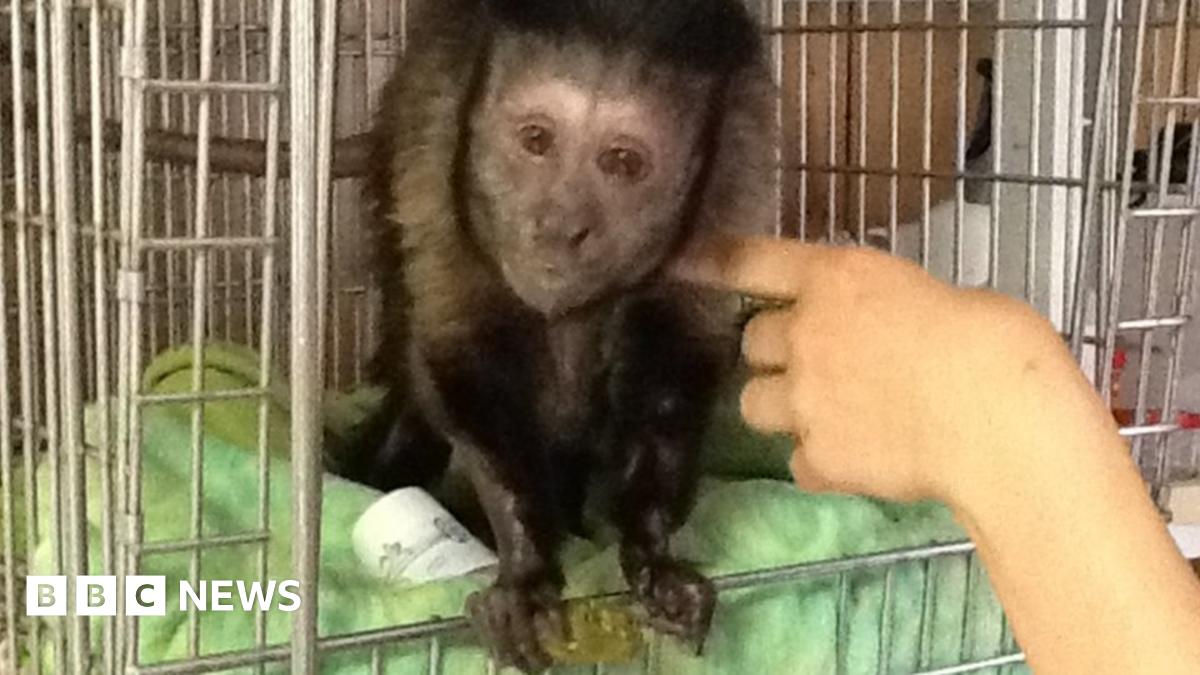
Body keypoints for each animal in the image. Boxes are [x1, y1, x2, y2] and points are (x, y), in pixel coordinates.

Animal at [328, 0, 779, 672]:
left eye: (622, 162)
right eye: (536, 140)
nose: (562, 223)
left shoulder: (732, 176)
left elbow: (673, 366)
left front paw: (651, 548)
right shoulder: (431, 142)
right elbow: (462, 355)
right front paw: (526, 564)